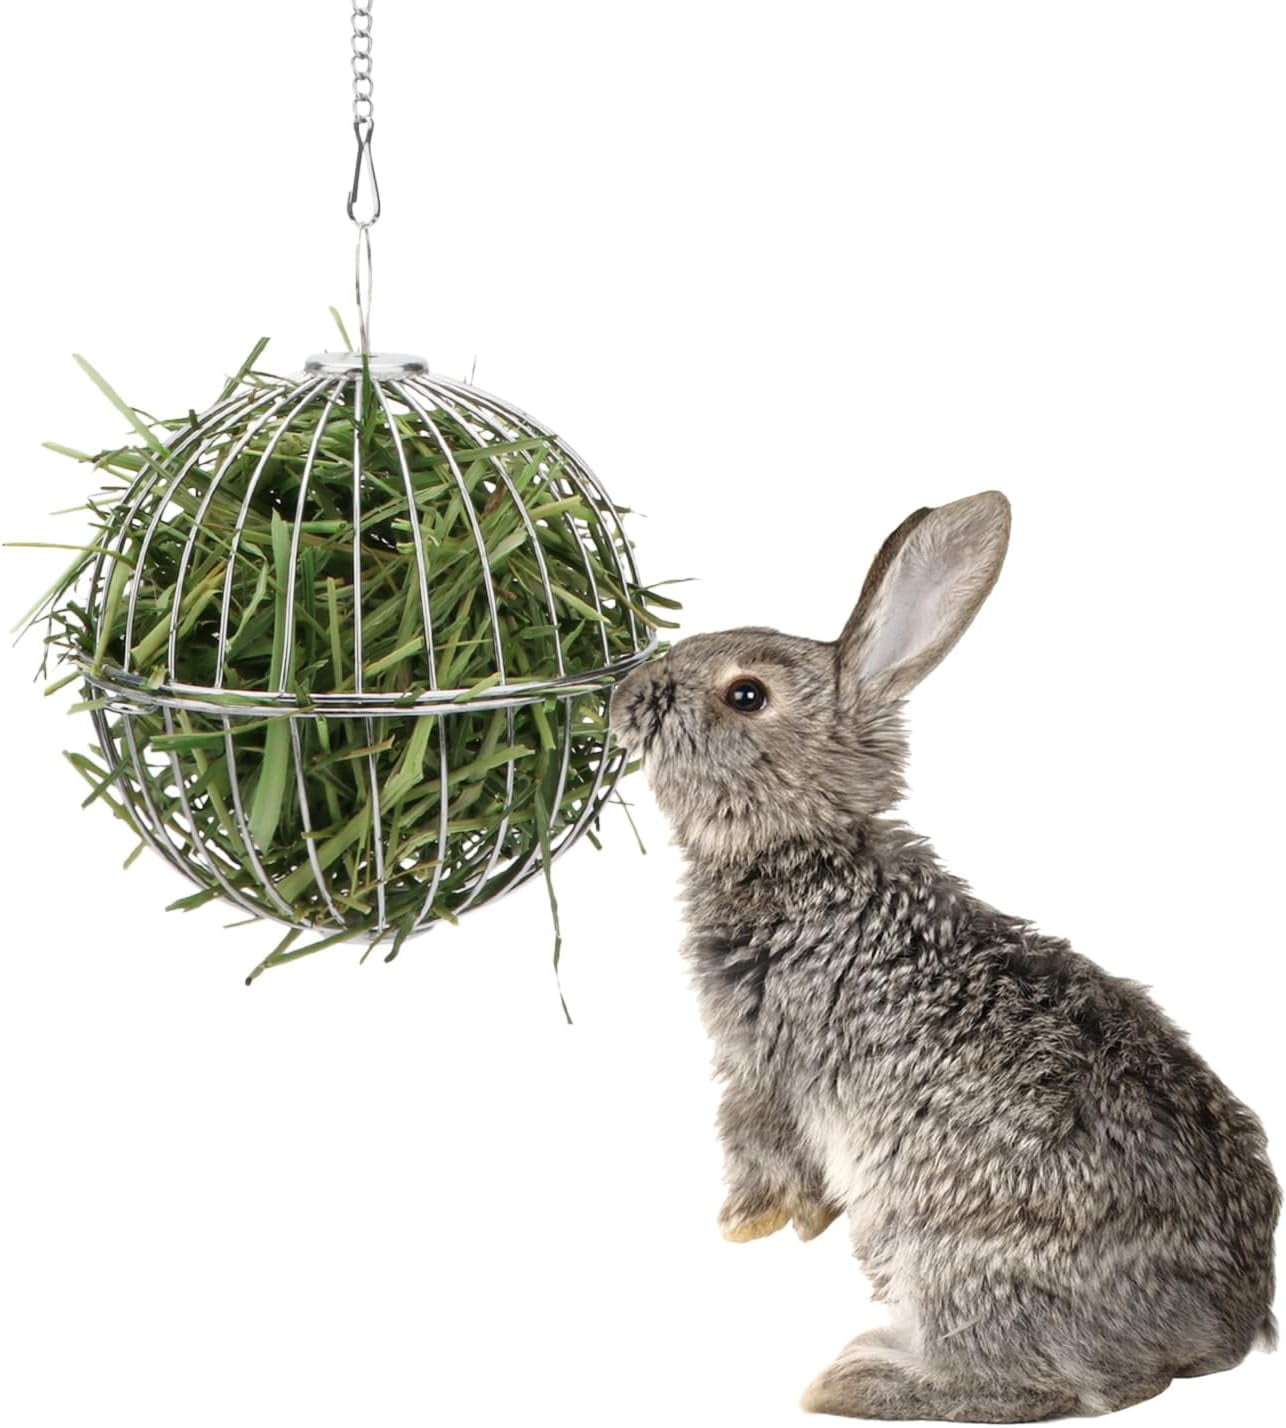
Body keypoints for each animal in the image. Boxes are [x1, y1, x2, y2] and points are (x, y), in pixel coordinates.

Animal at [608, 491, 1279, 1421]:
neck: (811, 857)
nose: (622, 698)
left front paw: (745, 1226)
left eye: (746, 694)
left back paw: (860, 1379)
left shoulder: (766, 1061)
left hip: (950, 1251)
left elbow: (759, 1148)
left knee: (1057, 1384)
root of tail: (1221, 1330)